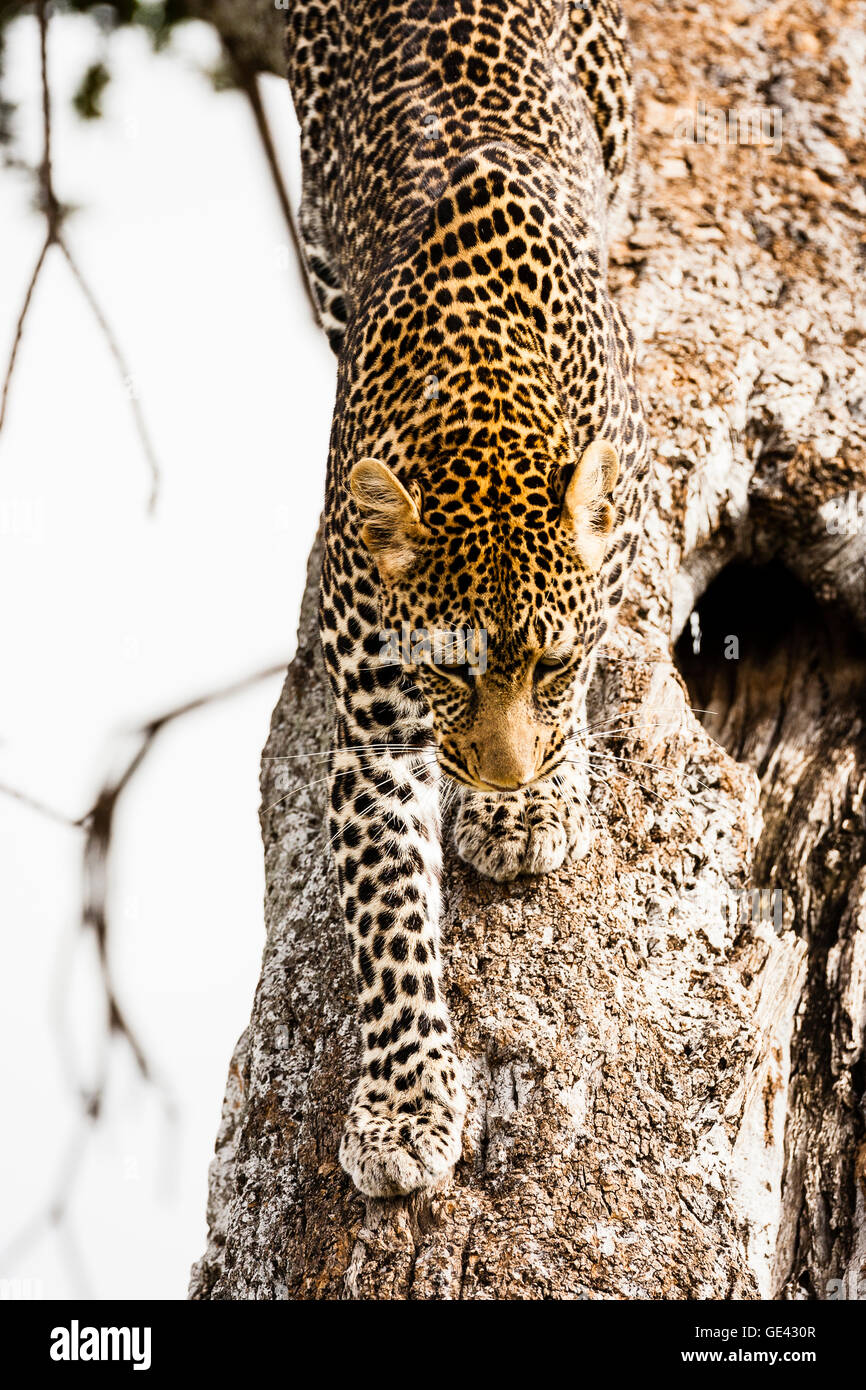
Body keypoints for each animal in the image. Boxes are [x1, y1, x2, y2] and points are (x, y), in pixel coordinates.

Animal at [284, 0, 650, 1198]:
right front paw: (404, 1110)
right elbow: (390, 925)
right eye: (445, 672)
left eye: (549, 661)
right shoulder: (374, 733)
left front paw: (532, 806)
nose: (499, 776)